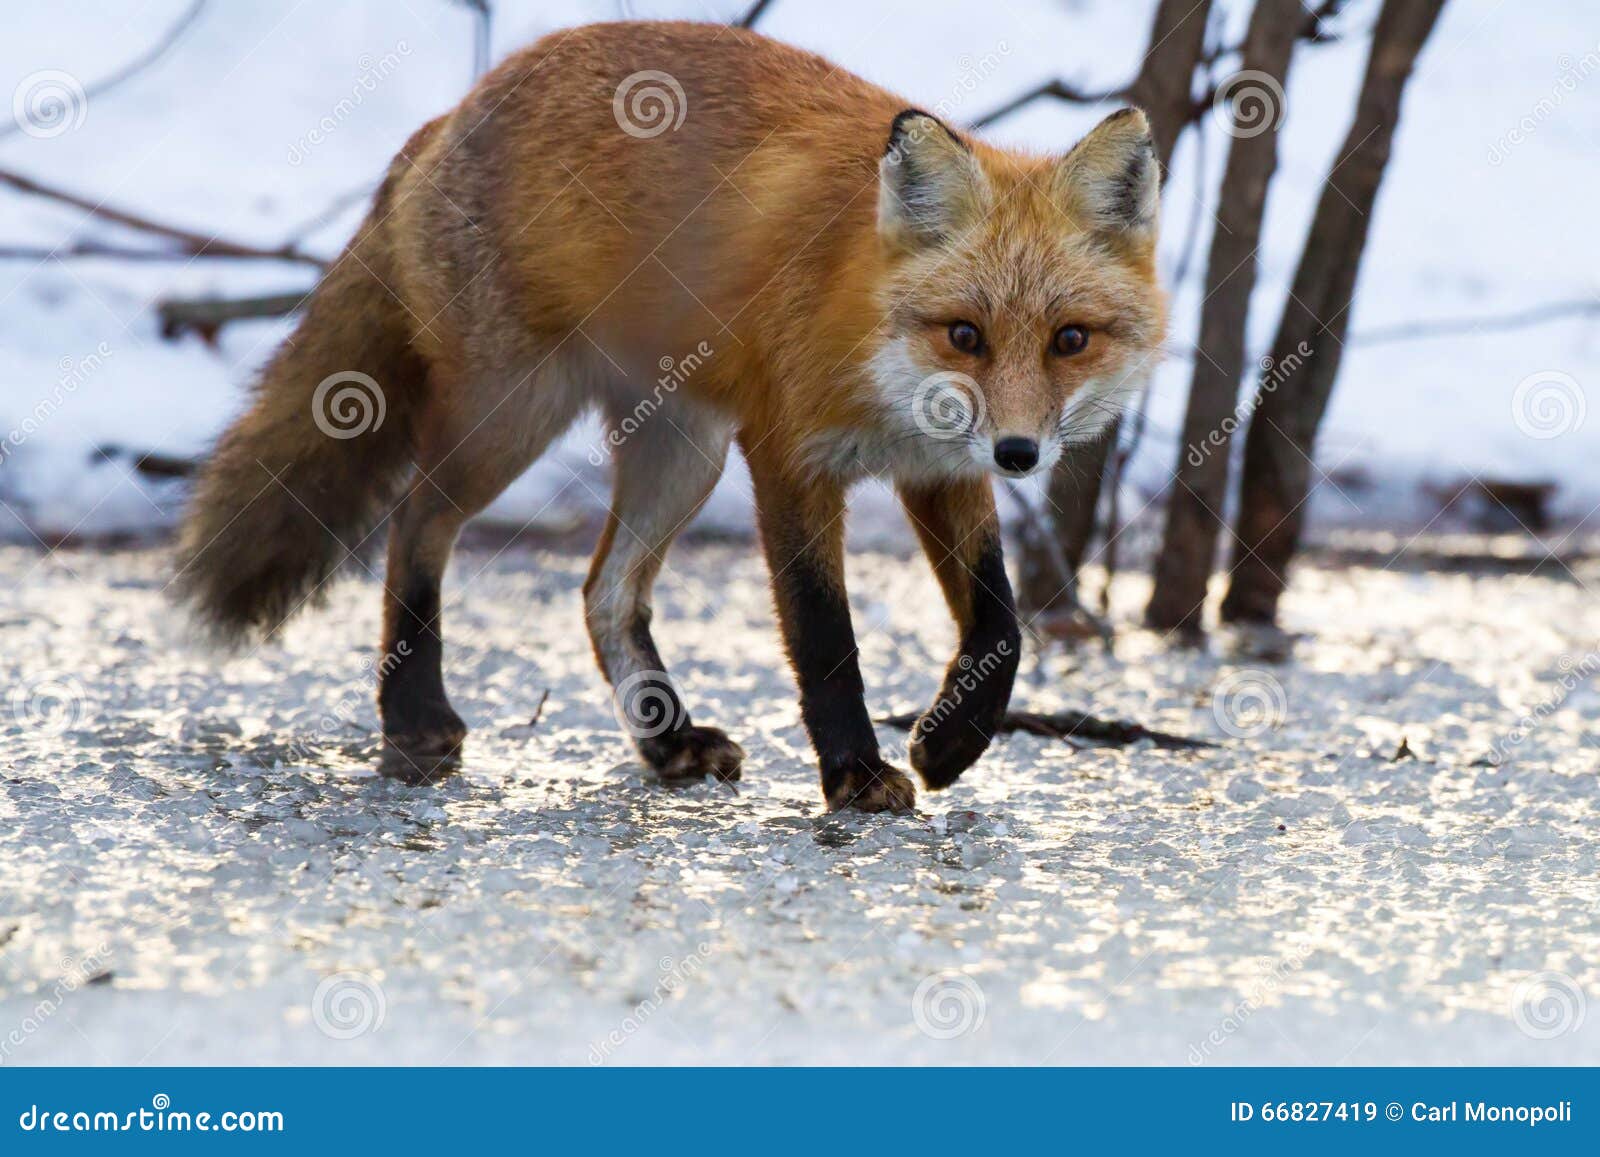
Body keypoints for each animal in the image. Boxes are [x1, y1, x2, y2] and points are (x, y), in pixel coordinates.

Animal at [174, 21, 1166, 813]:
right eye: (965, 334)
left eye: (1070, 338)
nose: (1021, 451)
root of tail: (449, 117)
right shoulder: (788, 456)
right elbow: (824, 635)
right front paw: (853, 772)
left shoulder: (940, 465)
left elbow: (1002, 626)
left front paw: (951, 742)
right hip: (515, 415)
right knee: (415, 524)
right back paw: (415, 717)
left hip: (683, 451)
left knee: (603, 590)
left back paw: (666, 739)